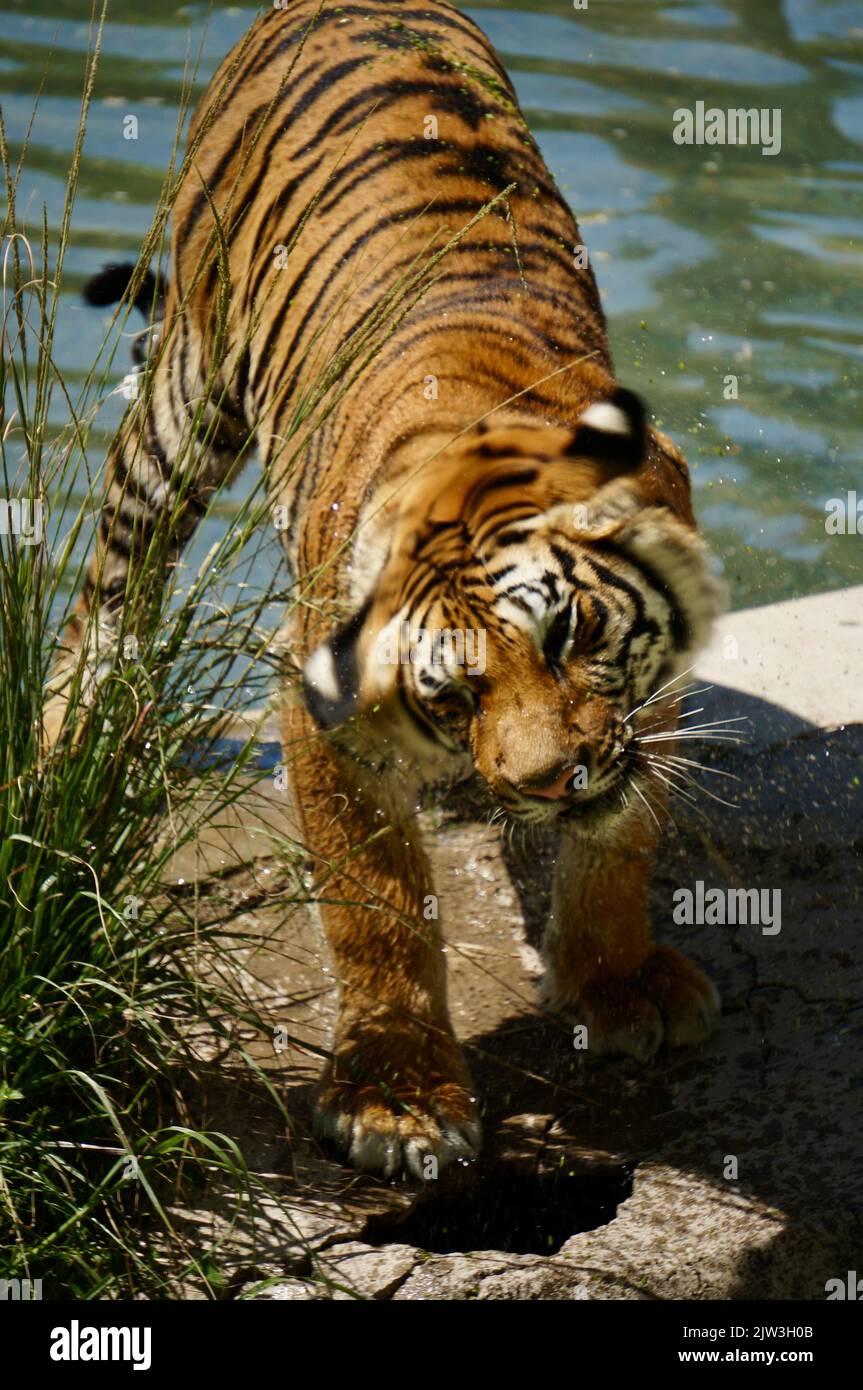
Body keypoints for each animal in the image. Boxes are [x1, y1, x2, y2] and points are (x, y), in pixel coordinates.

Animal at [47, 0, 725, 1179]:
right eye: (452, 692)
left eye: (569, 633)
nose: (544, 784)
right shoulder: (320, 700)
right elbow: (376, 897)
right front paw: (396, 1095)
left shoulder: (651, 683)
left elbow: (623, 833)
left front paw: (618, 980)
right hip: (187, 391)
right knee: (112, 585)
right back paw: (70, 741)